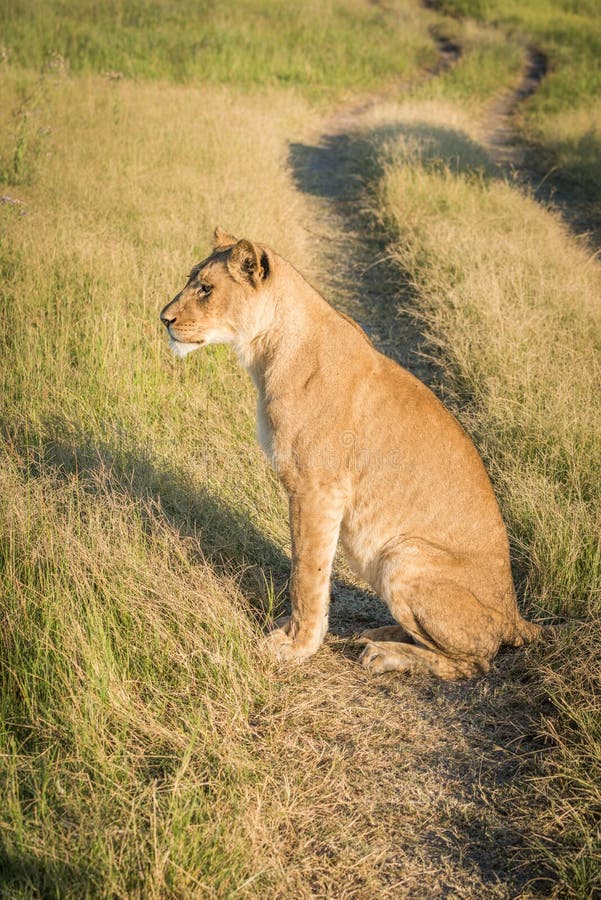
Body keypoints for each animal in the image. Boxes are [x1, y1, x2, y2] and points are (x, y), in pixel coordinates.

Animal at [160, 227, 541, 679]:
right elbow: (306, 569)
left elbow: (306, 573)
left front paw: (297, 646)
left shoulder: (316, 488)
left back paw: (386, 653)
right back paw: (380, 632)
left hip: (403, 555)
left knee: (475, 662)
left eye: (206, 288)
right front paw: (291, 634)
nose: (164, 319)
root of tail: (516, 617)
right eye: (192, 280)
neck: (266, 349)